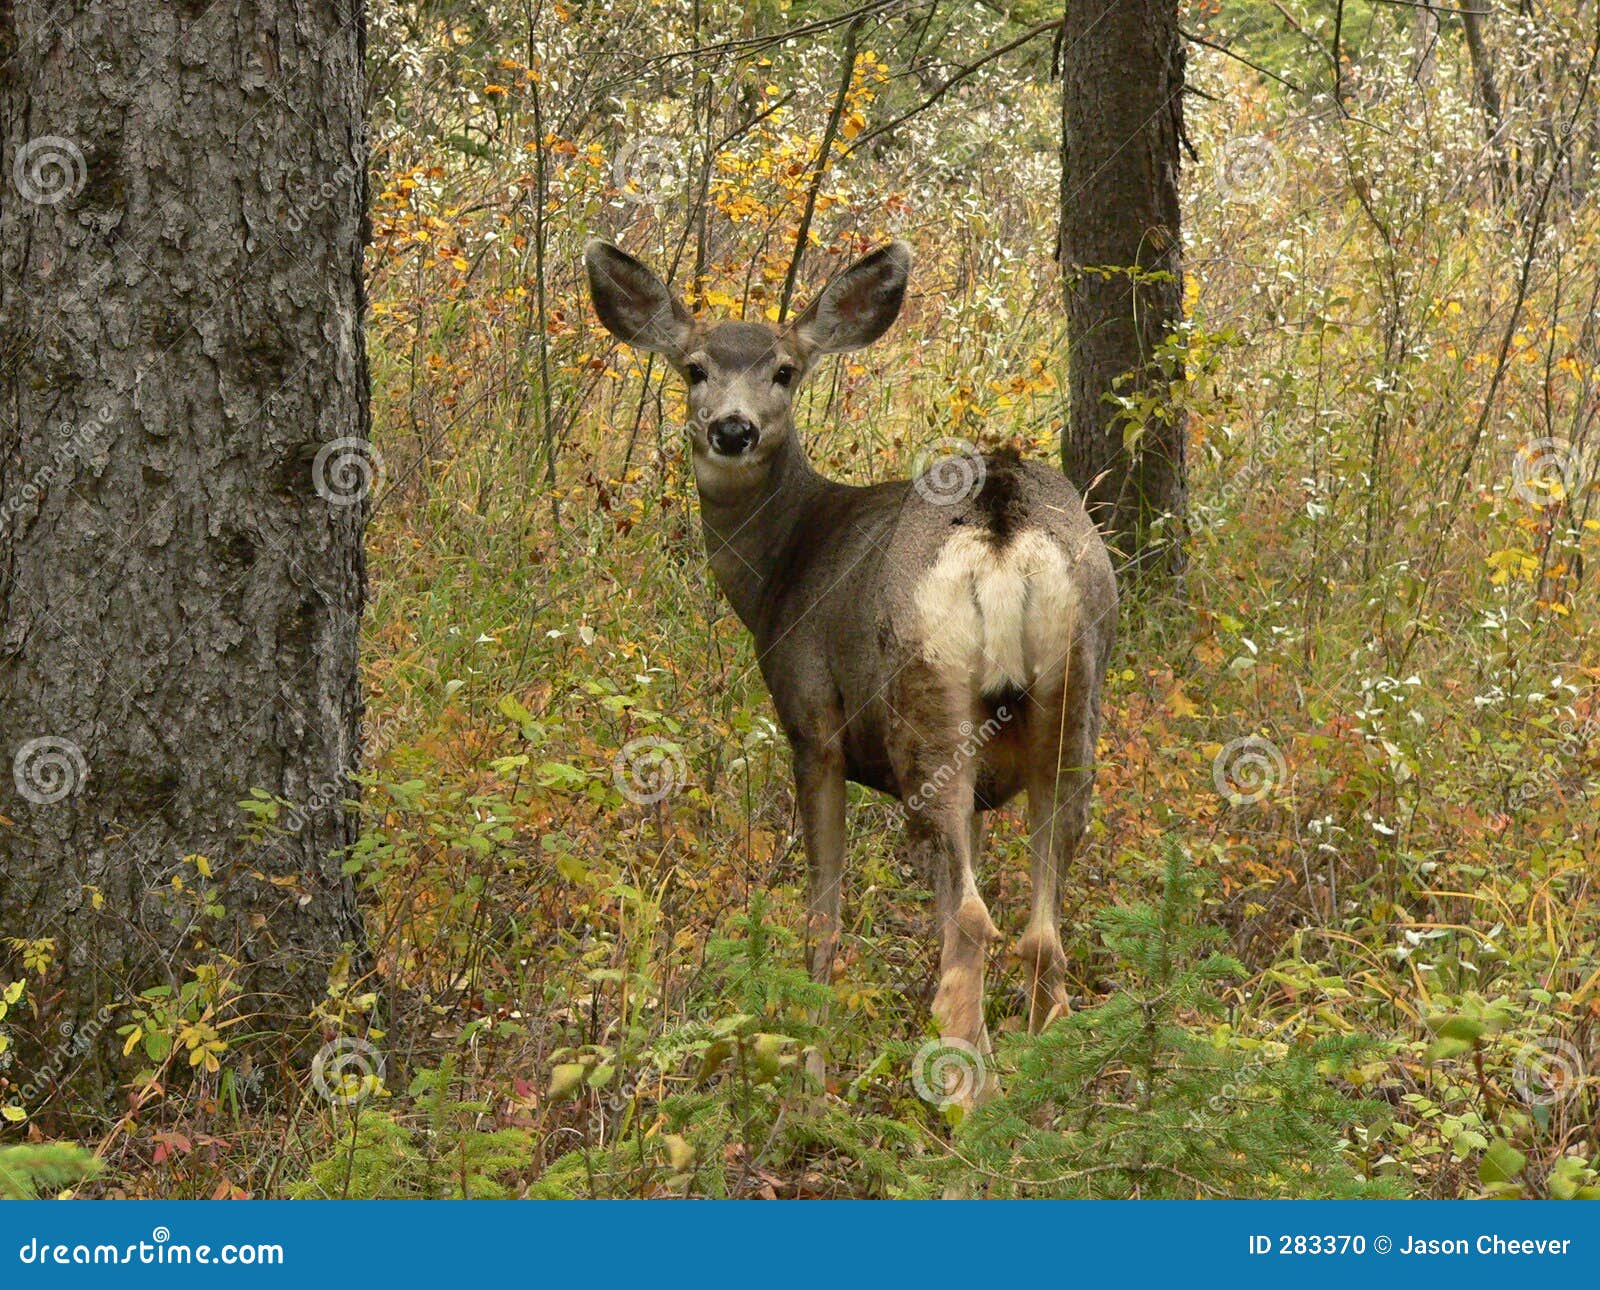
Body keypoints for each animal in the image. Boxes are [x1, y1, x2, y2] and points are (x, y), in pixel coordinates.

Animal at [585, 238, 1117, 1103]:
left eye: (785, 370)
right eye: (694, 367)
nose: (732, 429)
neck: (783, 566)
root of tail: (1002, 516)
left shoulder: (811, 719)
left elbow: (821, 914)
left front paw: (806, 1075)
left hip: (924, 702)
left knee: (973, 921)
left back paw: (964, 1099)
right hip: (1075, 697)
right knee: (1040, 928)